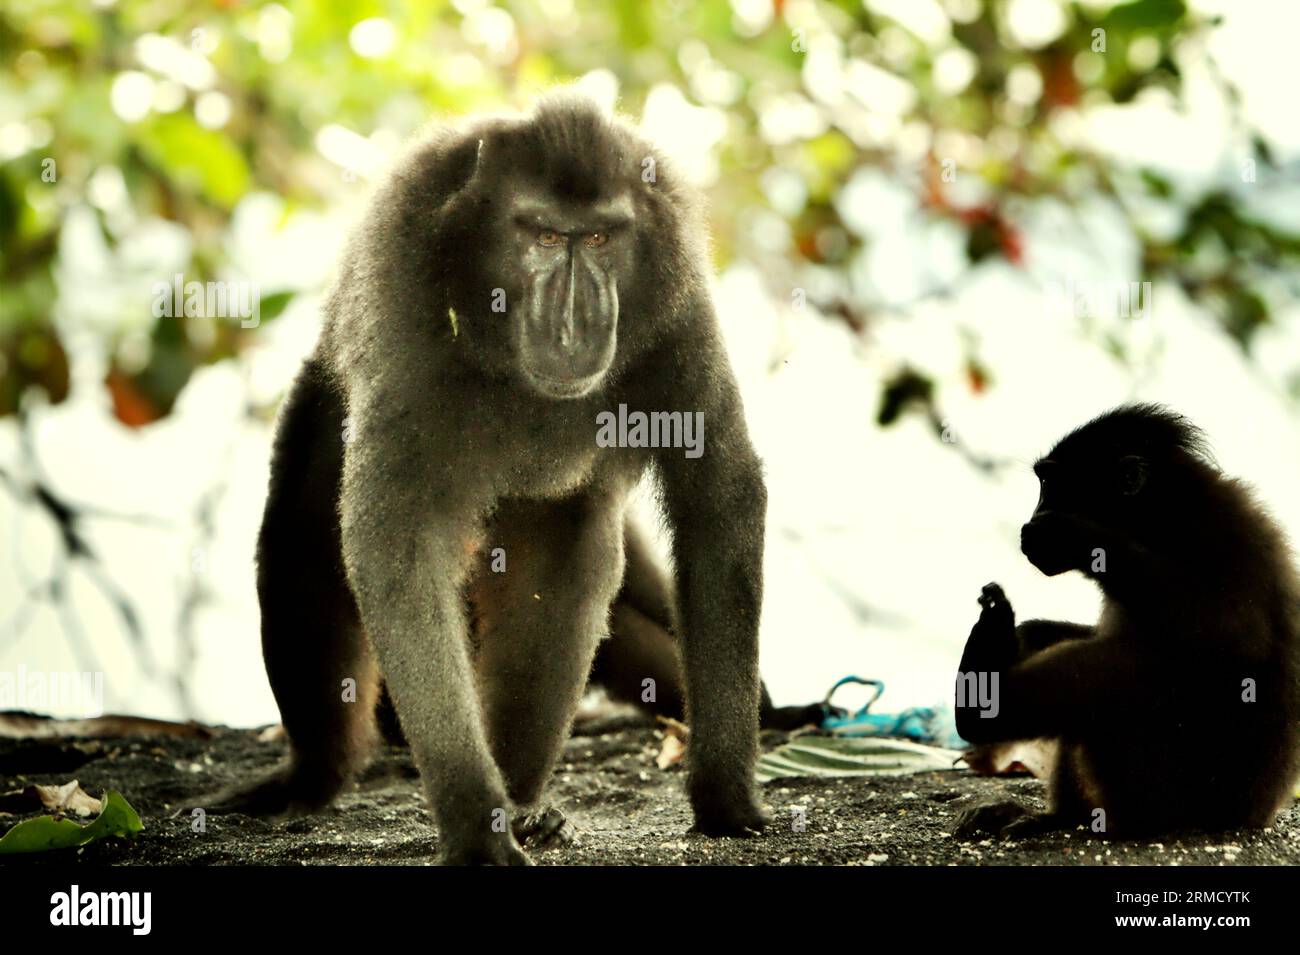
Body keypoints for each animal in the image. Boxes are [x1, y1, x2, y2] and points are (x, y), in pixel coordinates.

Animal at [211, 93, 773, 865]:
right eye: (542, 236)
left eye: (601, 239)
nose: (575, 319)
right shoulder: (406, 289)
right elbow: (399, 546)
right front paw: (476, 825)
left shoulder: (677, 303)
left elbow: (717, 500)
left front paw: (724, 793)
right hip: (327, 396)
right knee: (301, 539)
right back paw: (315, 775)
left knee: (569, 556)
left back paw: (524, 796)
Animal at [952, 404, 1300, 840]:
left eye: (1051, 483)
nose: (1032, 518)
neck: (1158, 516)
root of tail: (1251, 817)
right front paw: (1018, 635)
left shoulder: (1219, 535)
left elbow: (1234, 637)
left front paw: (1076, 538)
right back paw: (1058, 816)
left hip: (1169, 803)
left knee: (1120, 674)